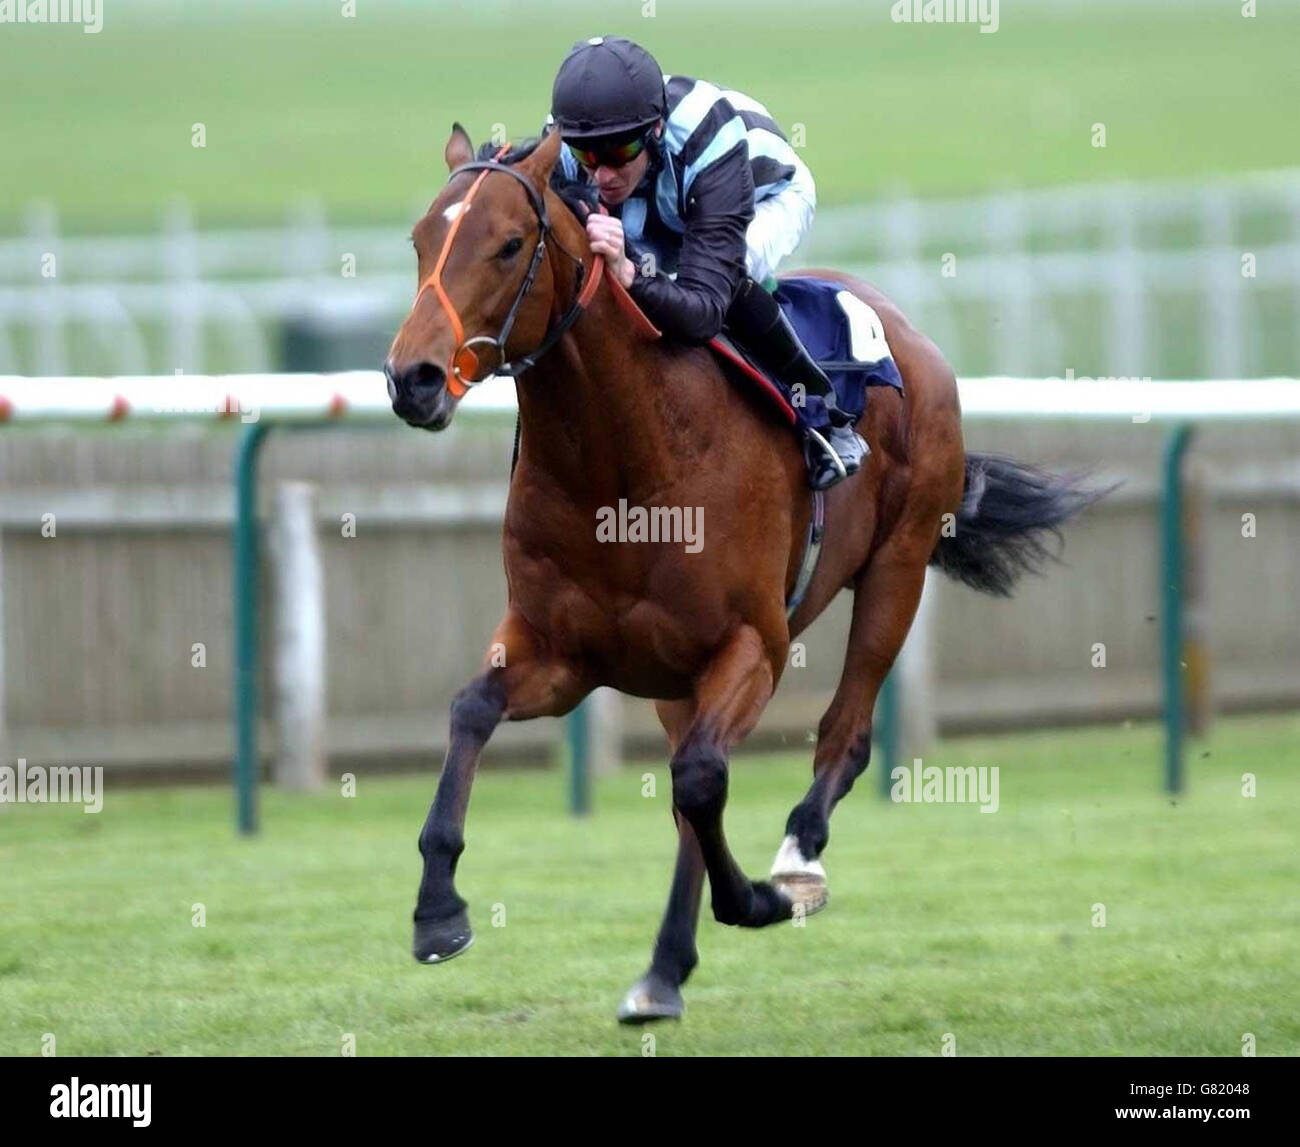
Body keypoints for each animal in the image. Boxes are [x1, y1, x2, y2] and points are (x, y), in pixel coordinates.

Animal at [384, 124, 1101, 1022]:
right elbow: (472, 710)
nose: (410, 379)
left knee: (840, 735)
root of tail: (903, 326)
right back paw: (665, 968)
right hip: (673, 678)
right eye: (420, 239)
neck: (627, 459)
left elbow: (701, 780)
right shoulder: (562, 652)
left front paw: (759, 898)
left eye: (510, 244)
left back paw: (794, 861)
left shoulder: (753, 646)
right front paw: (437, 909)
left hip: (896, 569)